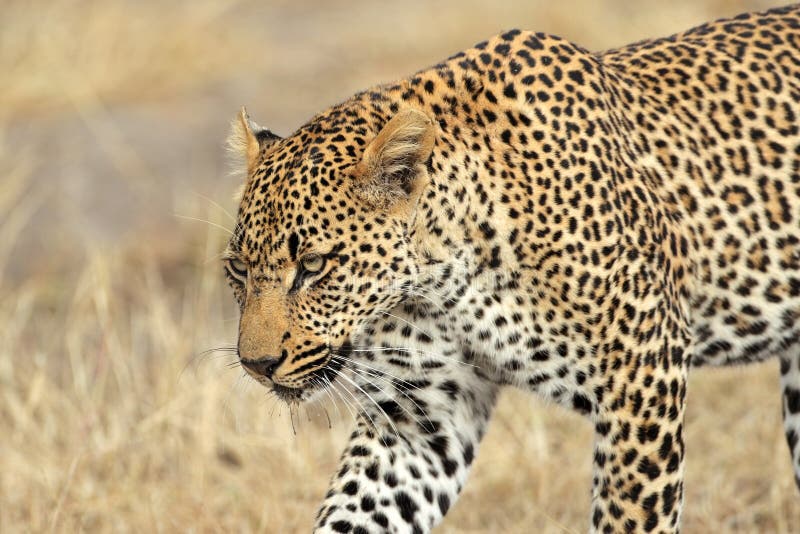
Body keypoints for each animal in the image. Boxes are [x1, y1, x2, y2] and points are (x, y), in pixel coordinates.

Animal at [222, 5, 800, 533]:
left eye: (314, 265)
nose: (256, 365)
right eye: (238, 270)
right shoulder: (420, 423)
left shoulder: (642, 376)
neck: (445, 284)